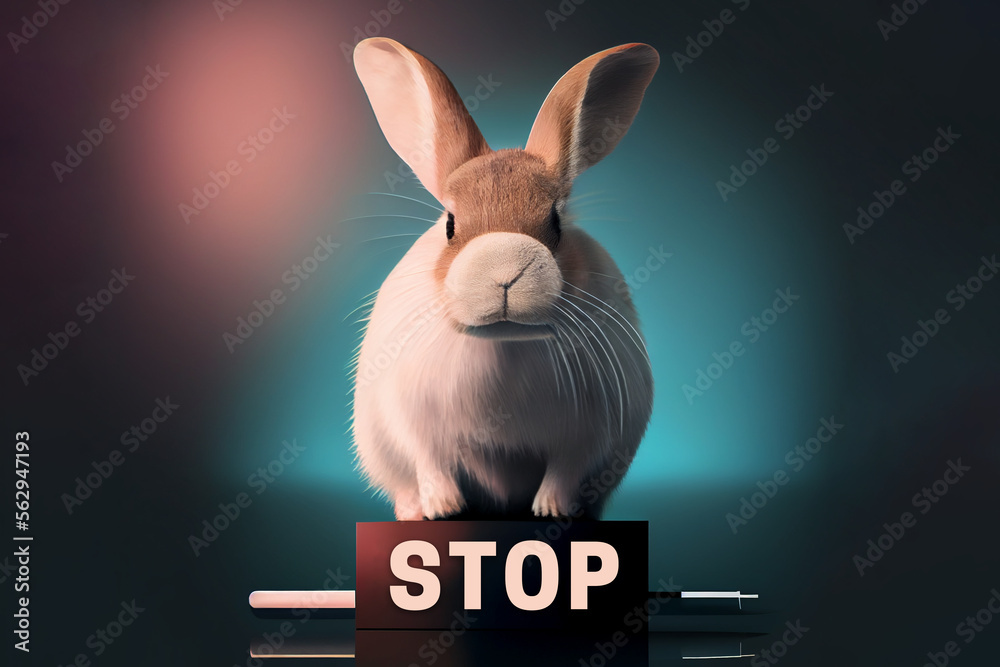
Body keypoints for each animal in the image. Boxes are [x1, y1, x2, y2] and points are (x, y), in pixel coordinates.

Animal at [351, 37, 658, 520]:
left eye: (556, 221)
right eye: (450, 224)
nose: (504, 274)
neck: (504, 344)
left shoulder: (591, 434)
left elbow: (565, 470)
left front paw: (550, 510)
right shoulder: (411, 422)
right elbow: (429, 461)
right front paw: (442, 508)